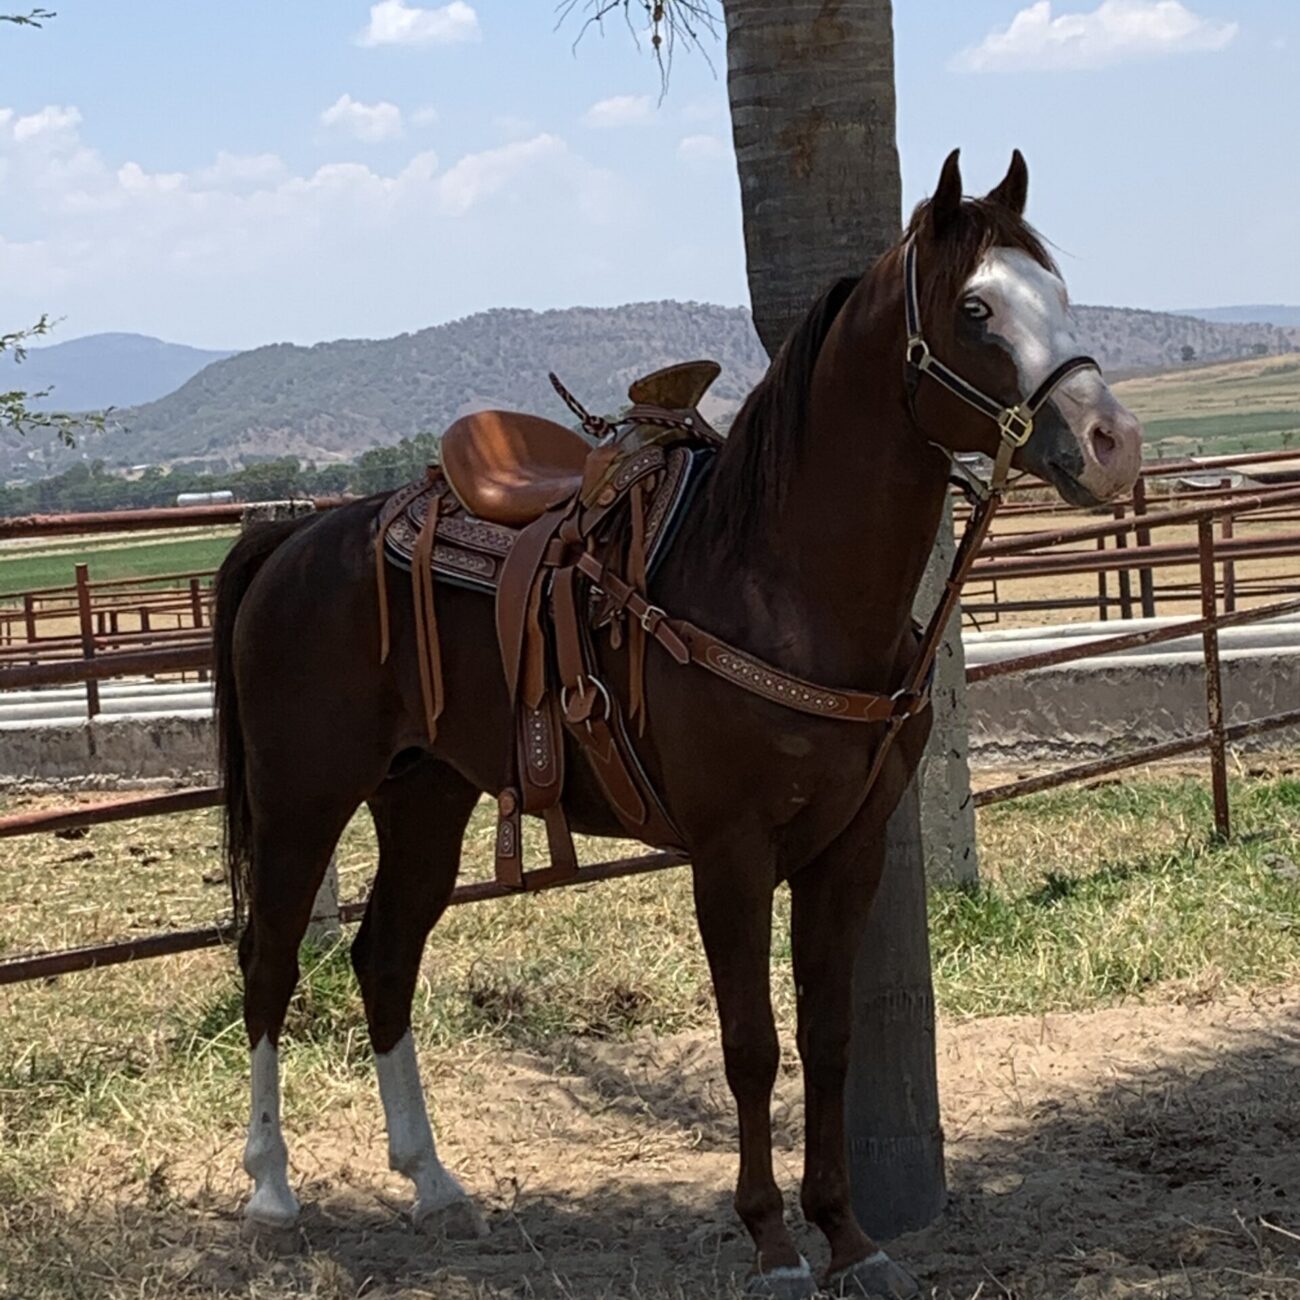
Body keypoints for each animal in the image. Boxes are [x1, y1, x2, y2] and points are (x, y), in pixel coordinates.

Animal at [213, 148, 1142, 1298]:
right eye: (975, 308)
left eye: (1057, 293)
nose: (1113, 445)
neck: (775, 577)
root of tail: (294, 542)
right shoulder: (730, 851)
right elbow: (751, 1043)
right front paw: (773, 1243)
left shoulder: (850, 843)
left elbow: (826, 1036)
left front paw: (848, 1235)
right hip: (302, 797)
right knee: (269, 958)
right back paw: (271, 1191)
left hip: (423, 796)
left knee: (384, 955)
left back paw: (433, 1183)